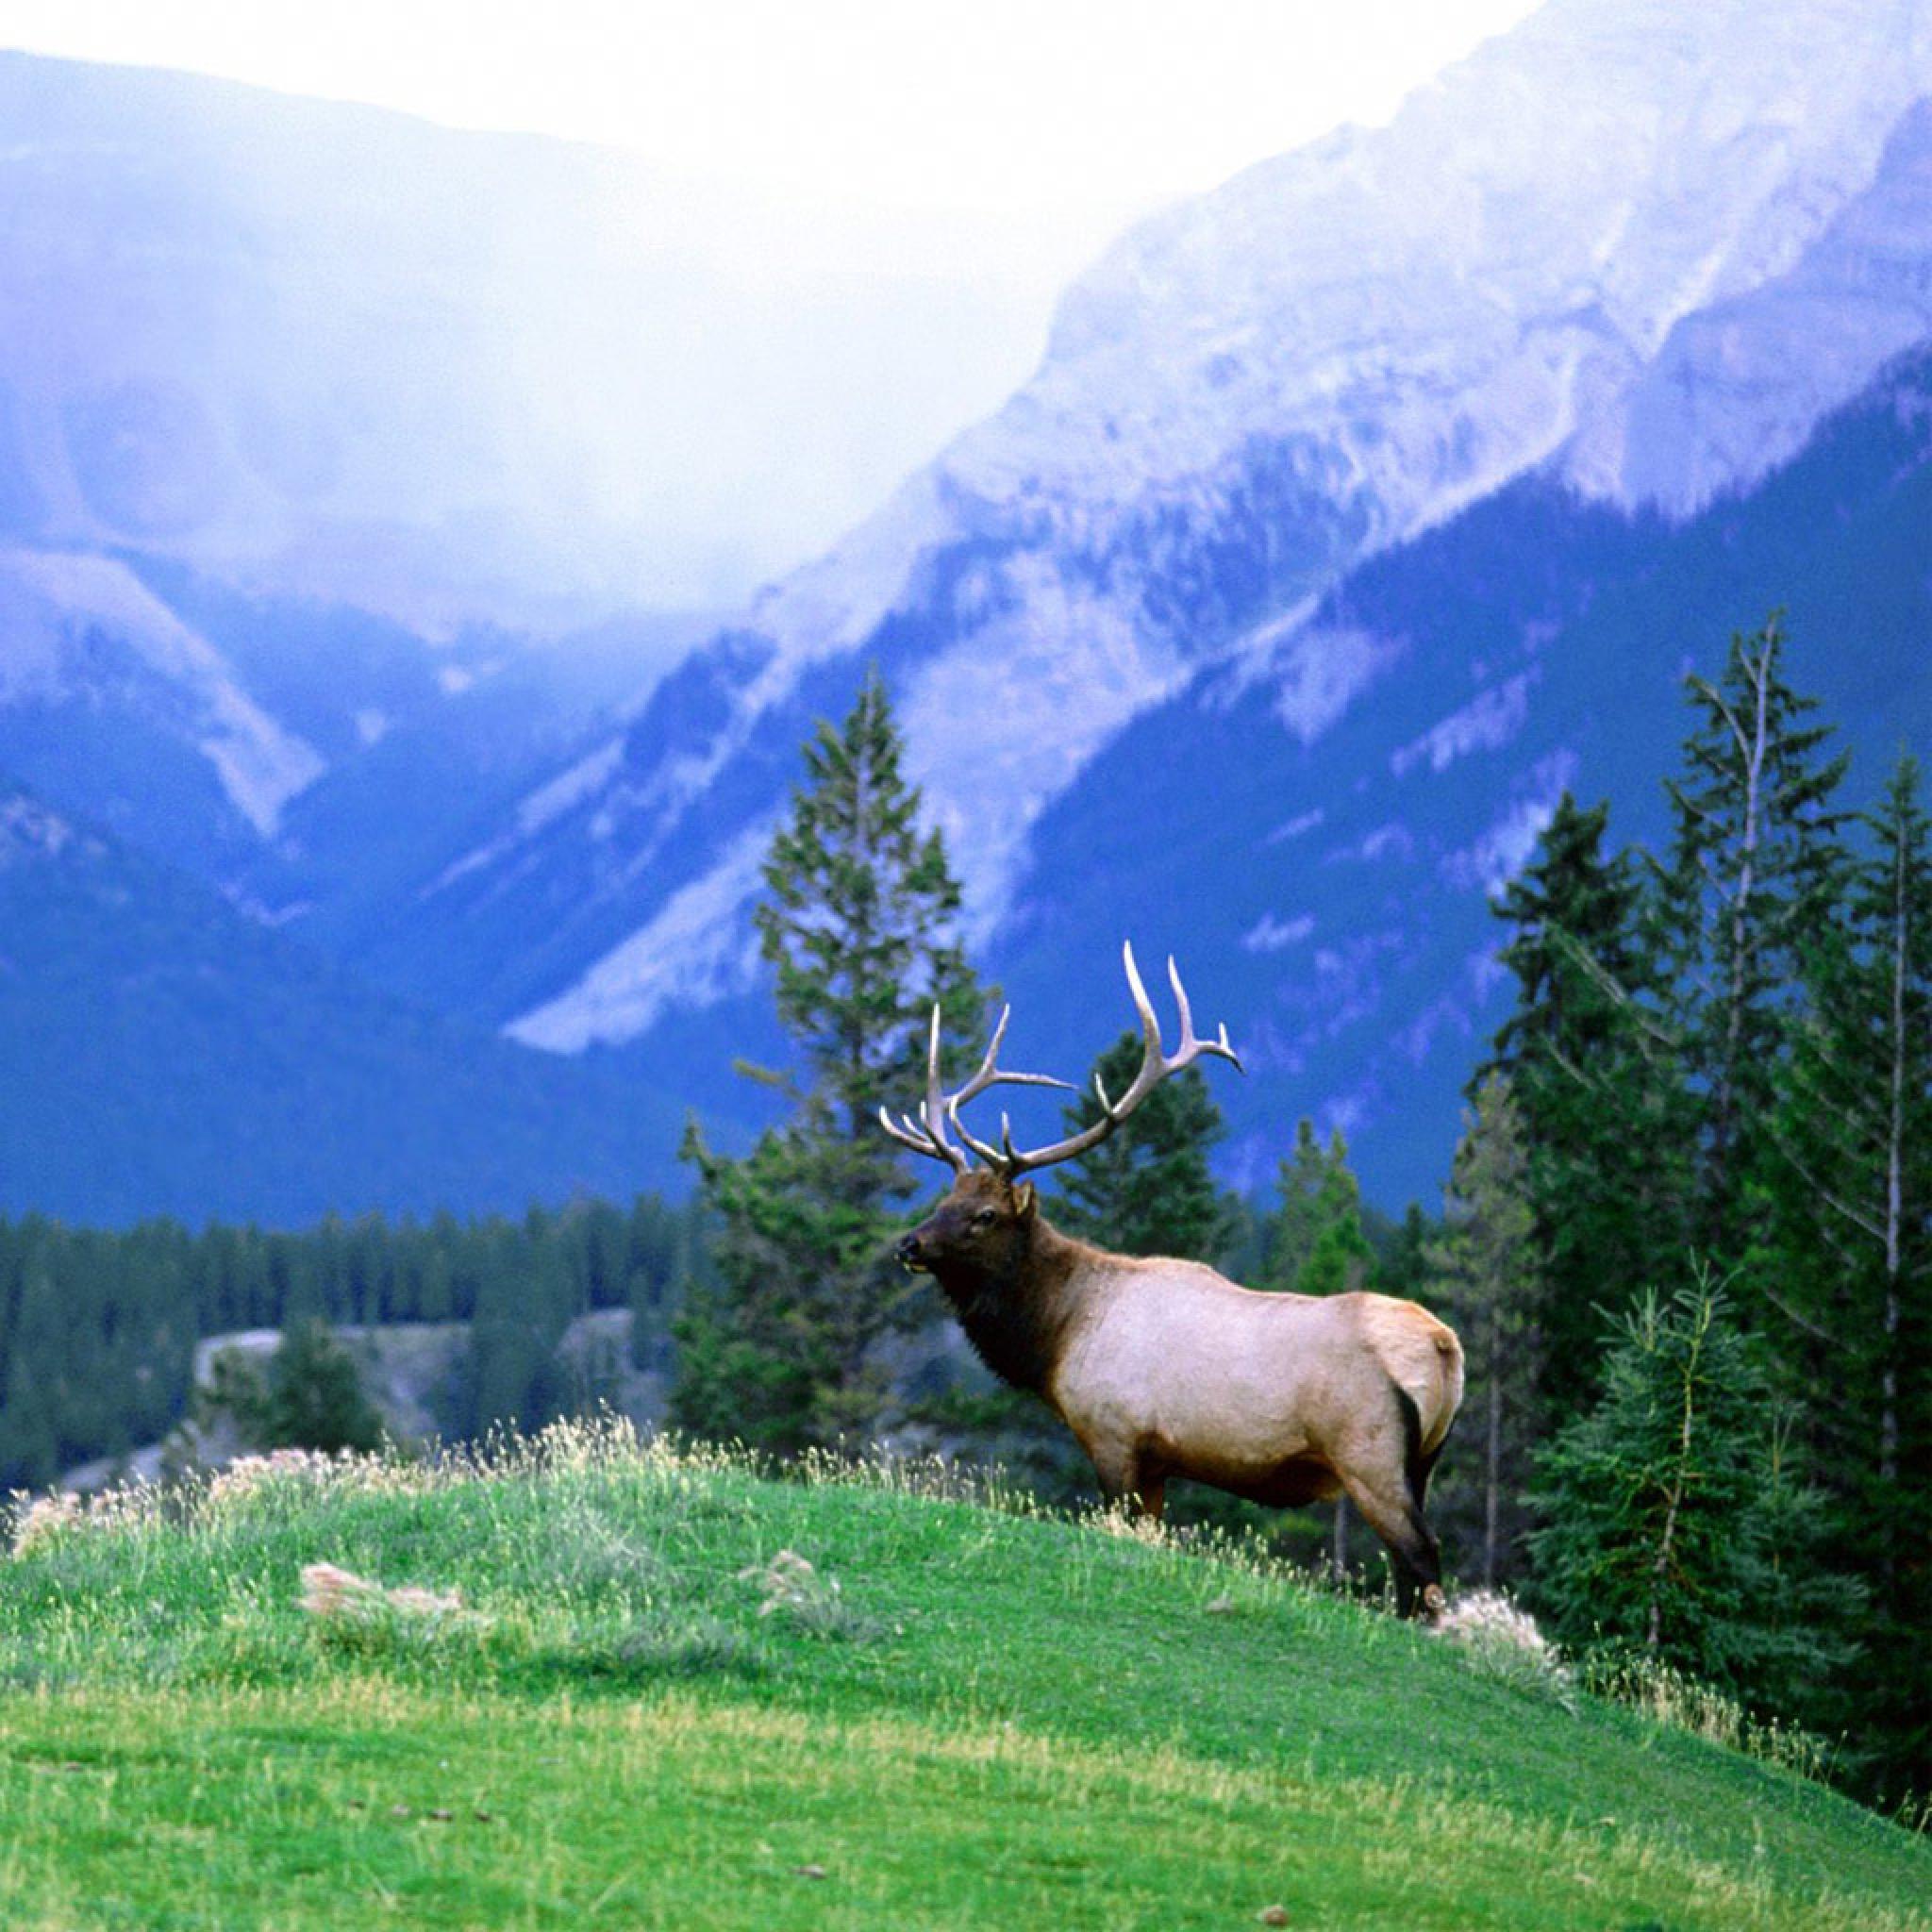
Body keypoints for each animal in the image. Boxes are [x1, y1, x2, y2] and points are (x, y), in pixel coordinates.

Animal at [882, 943, 1463, 1619]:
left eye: (985, 1215)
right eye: (944, 1198)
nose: (909, 1244)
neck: (1058, 1335)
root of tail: (1444, 1347)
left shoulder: (1115, 1435)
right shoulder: (1158, 1460)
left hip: (1369, 1453)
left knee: (1420, 1555)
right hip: (1424, 1461)